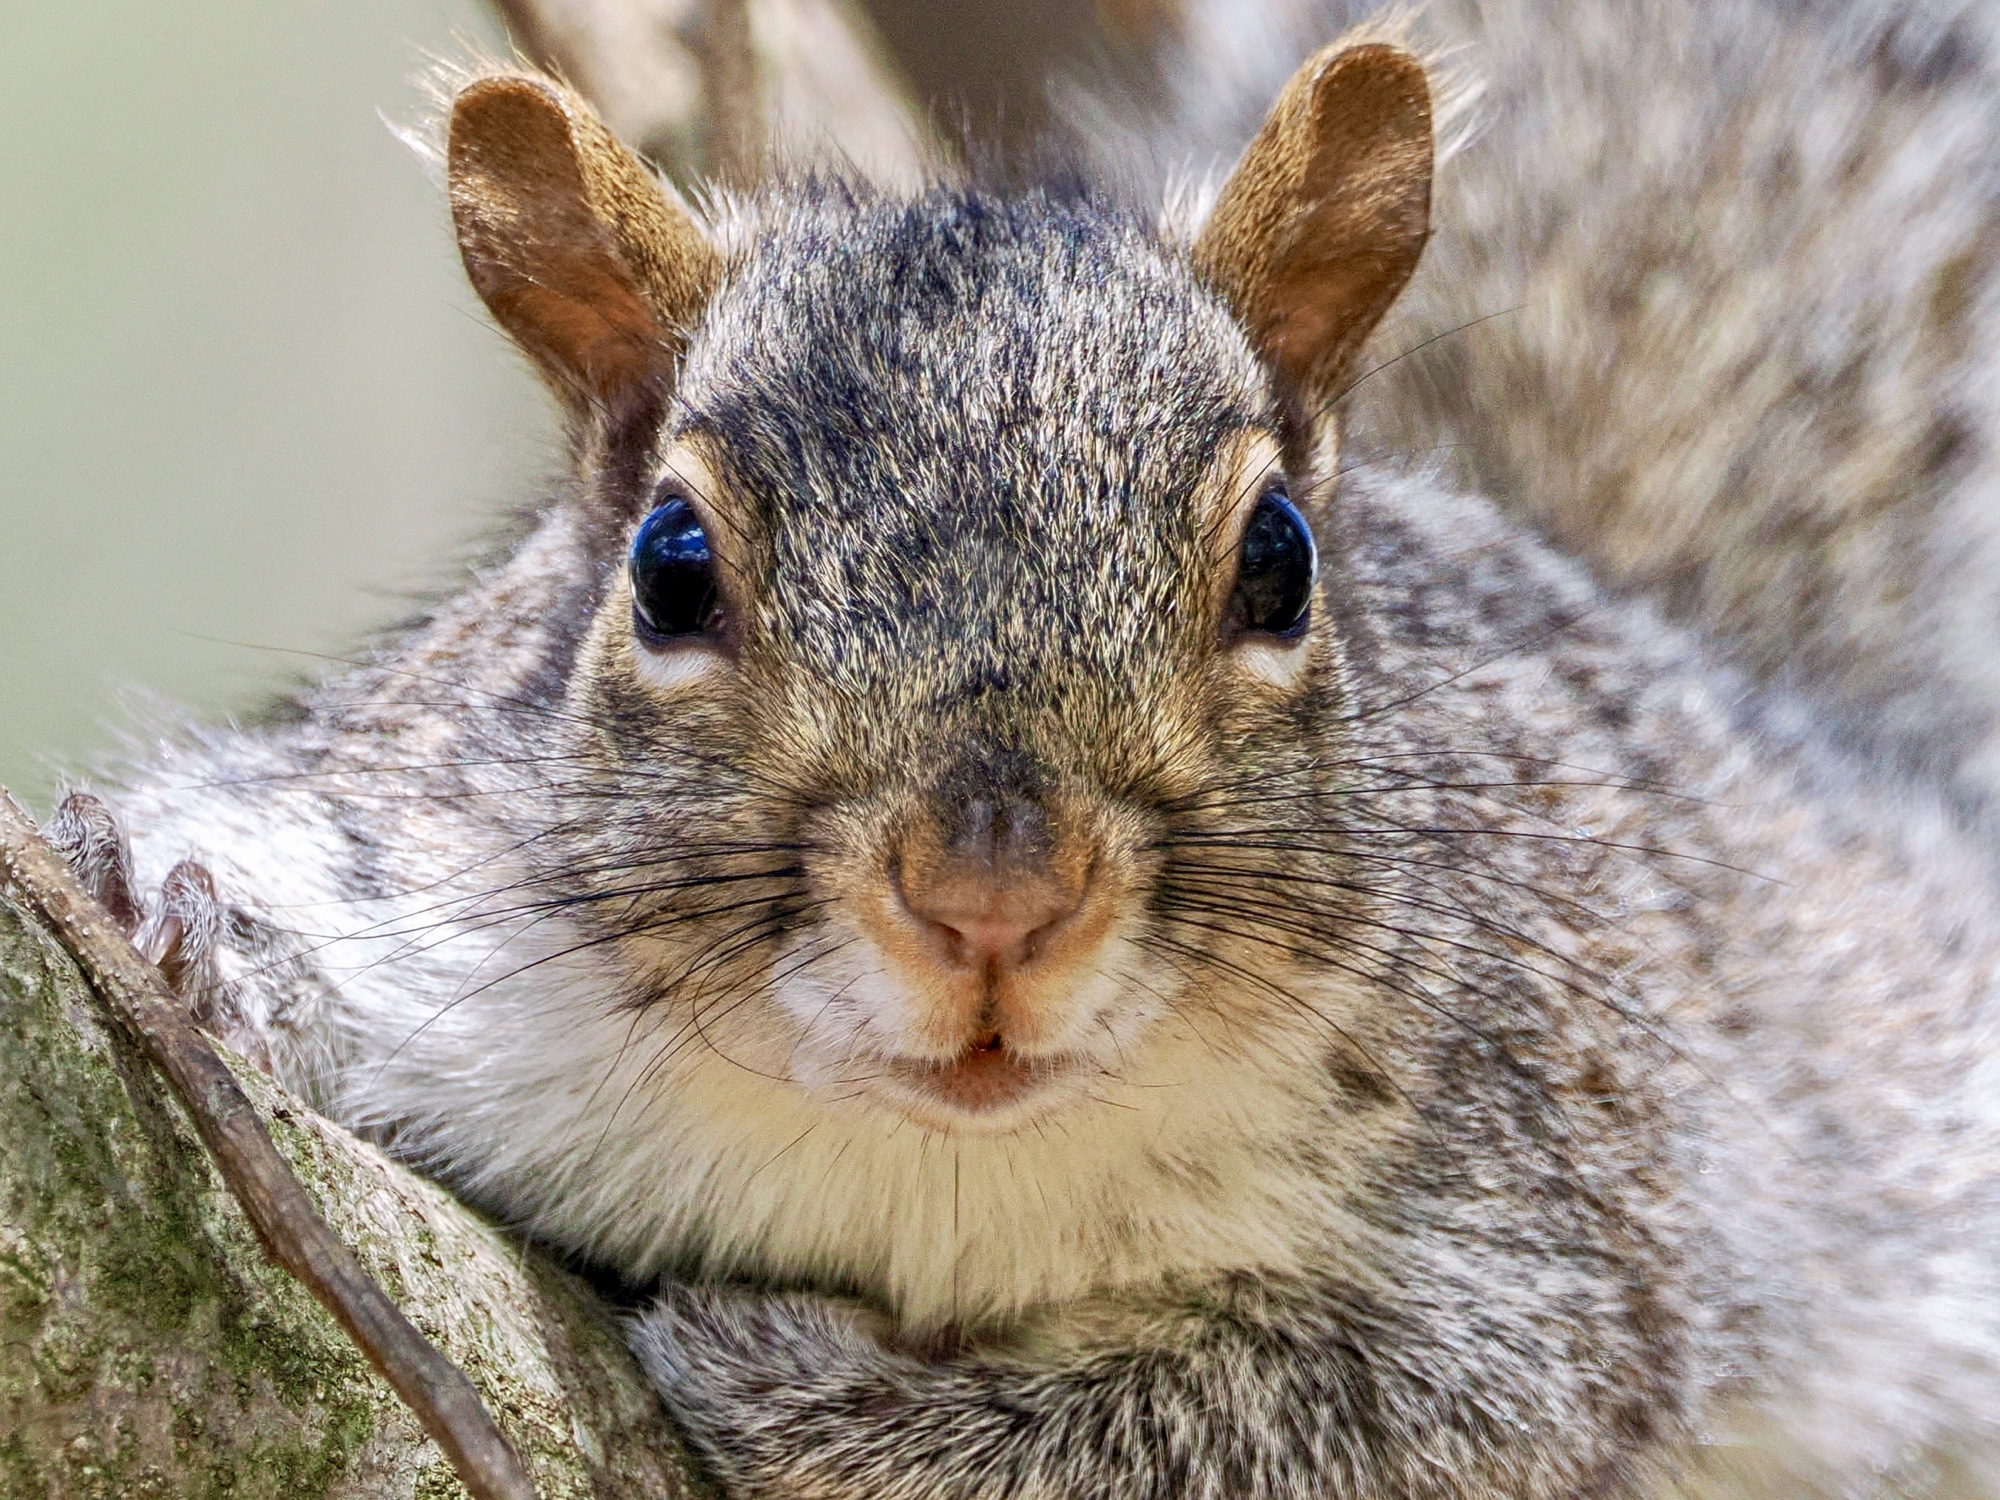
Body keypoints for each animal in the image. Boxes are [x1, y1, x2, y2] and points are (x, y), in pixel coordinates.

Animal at [34, 6, 2000, 1498]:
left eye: (1280, 558)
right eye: (670, 568)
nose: (994, 902)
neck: (934, 1159)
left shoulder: (1561, 1247)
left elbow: (1302, 1417)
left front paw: (818, 1397)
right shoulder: (423, 865)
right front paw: (180, 922)